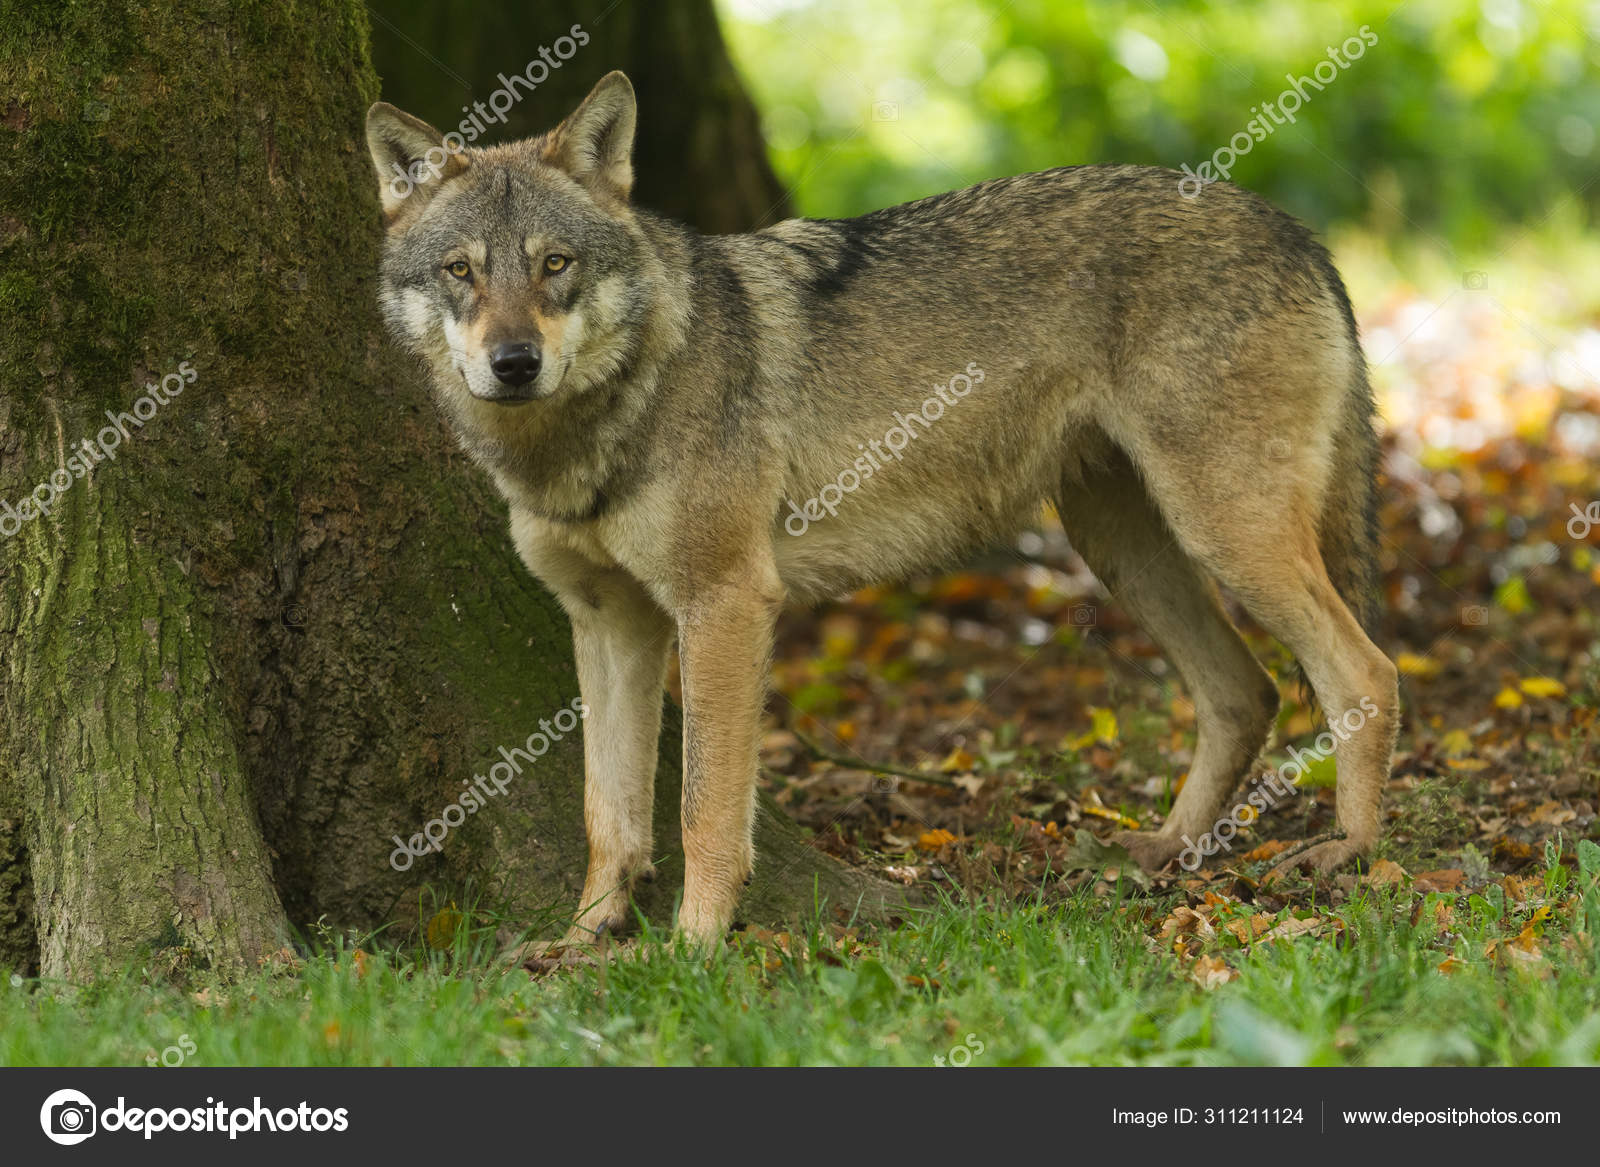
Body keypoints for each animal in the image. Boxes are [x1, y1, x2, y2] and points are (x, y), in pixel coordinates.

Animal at [366, 71, 1399, 945]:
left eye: (555, 264)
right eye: (461, 271)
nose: (514, 363)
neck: (594, 430)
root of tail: (1297, 231)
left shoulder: (725, 604)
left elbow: (704, 810)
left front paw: (693, 952)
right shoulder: (610, 623)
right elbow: (607, 814)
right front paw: (583, 945)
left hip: (1224, 535)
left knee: (1366, 672)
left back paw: (1347, 856)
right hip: (1127, 546)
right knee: (1245, 693)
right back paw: (1161, 853)